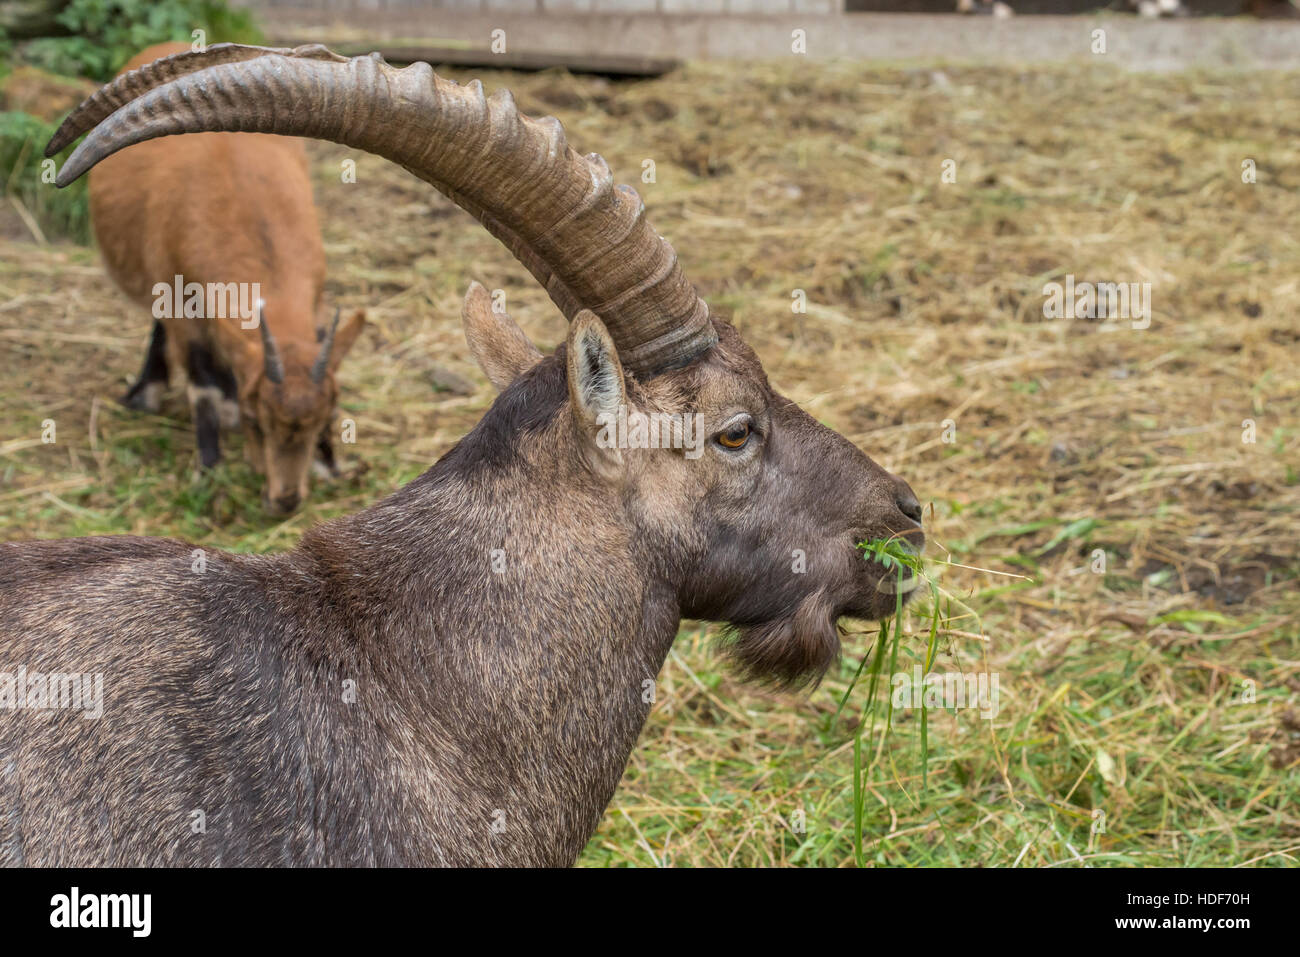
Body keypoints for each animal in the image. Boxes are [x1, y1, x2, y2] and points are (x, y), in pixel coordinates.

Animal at [82, 42, 366, 515]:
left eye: (328, 418)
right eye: (256, 419)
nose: (285, 501)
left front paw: (329, 463)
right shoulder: (183, 304)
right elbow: (202, 387)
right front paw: (209, 469)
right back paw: (147, 392)